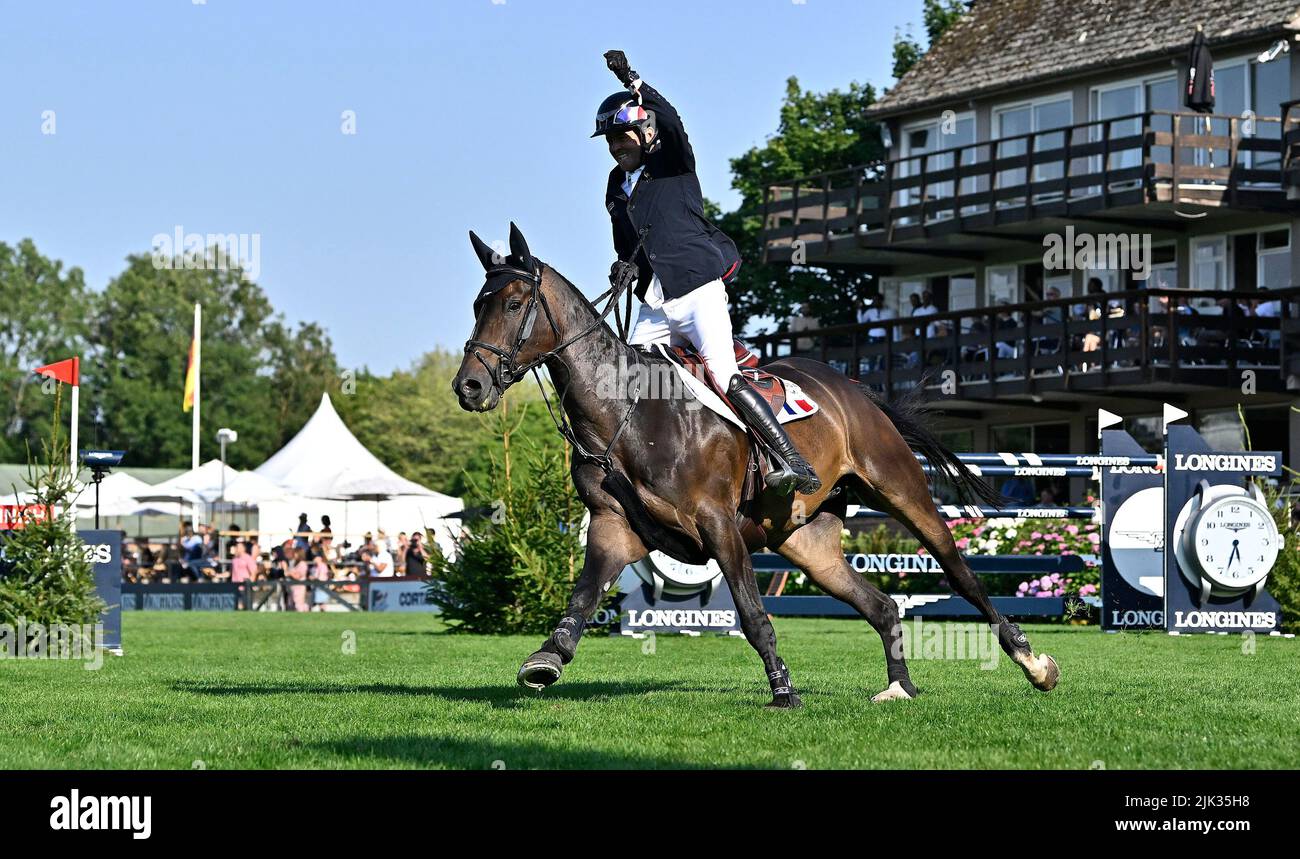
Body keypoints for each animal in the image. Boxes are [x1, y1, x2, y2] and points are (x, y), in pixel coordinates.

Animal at [452, 223, 1059, 707]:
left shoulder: (717, 523)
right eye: (477, 305)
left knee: (962, 575)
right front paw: (546, 659)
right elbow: (581, 597)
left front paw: (783, 691)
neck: (626, 412)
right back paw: (899, 687)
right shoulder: (612, 527)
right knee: (883, 606)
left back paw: (1032, 663)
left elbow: (751, 613)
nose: (469, 386)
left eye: (512, 306)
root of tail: (855, 389)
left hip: (903, 494)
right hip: (806, 542)